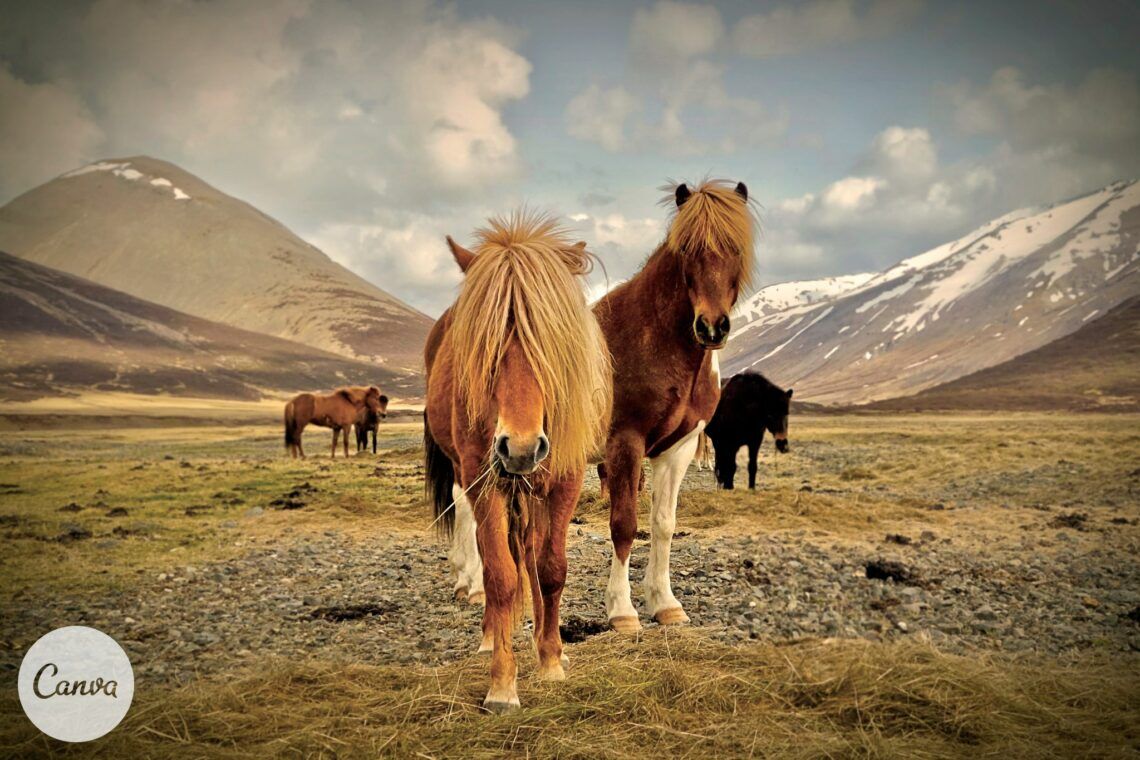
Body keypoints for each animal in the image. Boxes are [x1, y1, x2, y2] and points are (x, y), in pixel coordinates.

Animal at [423, 211, 611, 713]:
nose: (521, 448)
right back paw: (493, 634)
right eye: (486, 347)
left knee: (531, 553)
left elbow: (551, 569)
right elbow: (502, 576)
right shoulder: (483, 481)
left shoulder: (565, 479)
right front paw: (503, 685)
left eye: (552, 343)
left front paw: (551, 660)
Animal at [594, 179, 755, 632]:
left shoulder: (677, 448)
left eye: (737, 248)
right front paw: (622, 610)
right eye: (686, 250)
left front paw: (664, 603)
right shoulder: (625, 443)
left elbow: (663, 524)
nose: (712, 327)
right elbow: (624, 525)